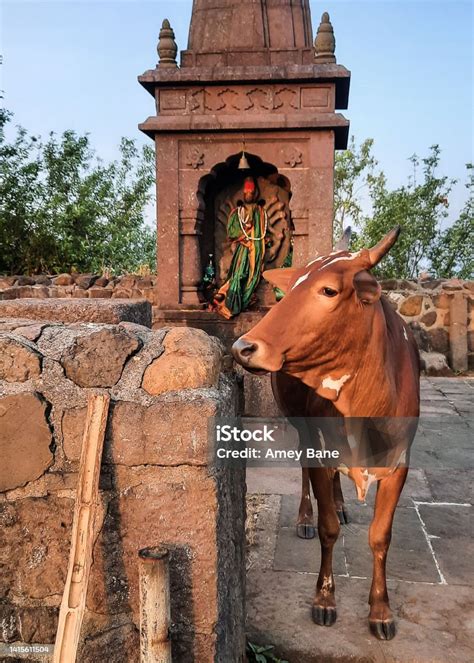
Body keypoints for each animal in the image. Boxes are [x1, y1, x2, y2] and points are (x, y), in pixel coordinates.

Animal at [232, 227, 420, 640]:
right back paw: (305, 514)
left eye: (329, 290)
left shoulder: (399, 463)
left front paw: (381, 611)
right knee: (304, 472)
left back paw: (341, 501)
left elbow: (380, 536)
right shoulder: (321, 450)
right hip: (302, 427)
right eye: (290, 289)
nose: (243, 347)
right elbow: (327, 528)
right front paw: (324, 599)